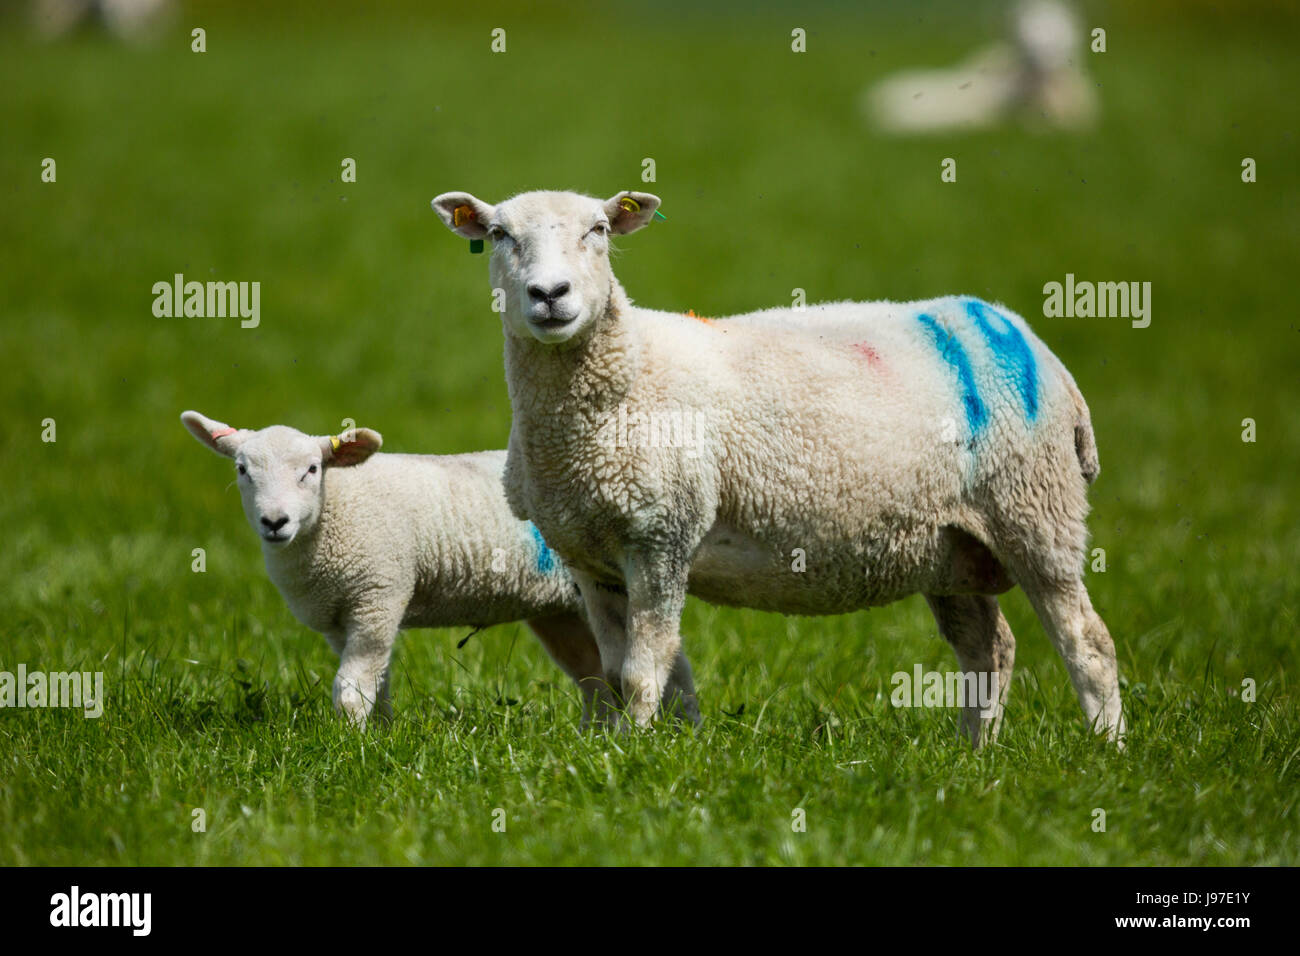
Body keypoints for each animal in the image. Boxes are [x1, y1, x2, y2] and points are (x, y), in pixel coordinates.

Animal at [180, 410, 700, 729]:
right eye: (242, 470)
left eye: (311, 469)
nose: (274, 522)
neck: (337, 507)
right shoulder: (338, 618)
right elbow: (377, 683)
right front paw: (379, 734)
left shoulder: (378, 593)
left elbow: (351, 687)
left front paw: (347, 744)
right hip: (564, 610)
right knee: (595, 675)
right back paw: (602, 737)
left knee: (665, 663)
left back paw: (676, 731)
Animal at [430, 188, 1124, 747]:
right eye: (500, 234)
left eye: (598, 230)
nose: (550, 295)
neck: (627, 373)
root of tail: (1028, 339)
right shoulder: (591, 556)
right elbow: (612, 672)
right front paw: (609, 747)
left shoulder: (661, 534)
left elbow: (642, 670)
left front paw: (631, 754)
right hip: (951, 545)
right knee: (990, 648)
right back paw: (973, 754)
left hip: (1034, 510)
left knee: (1087, 642)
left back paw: (1104, 749)